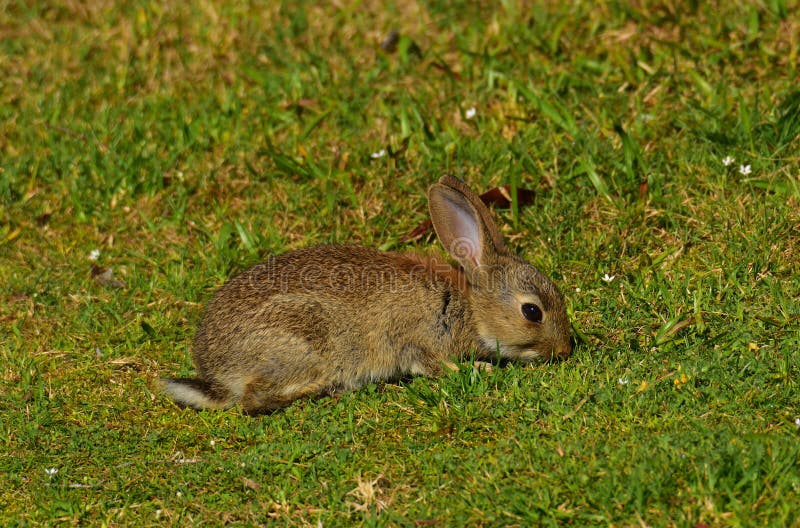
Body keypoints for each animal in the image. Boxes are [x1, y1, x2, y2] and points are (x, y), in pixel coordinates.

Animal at [161, 175, 571, 414]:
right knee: (253, 400)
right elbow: (431, 364)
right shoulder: (417, 338)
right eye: (532, 312)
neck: (467, 306)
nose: (565, 350)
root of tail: (216, 374)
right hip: (302, 344)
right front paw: (478, 369)